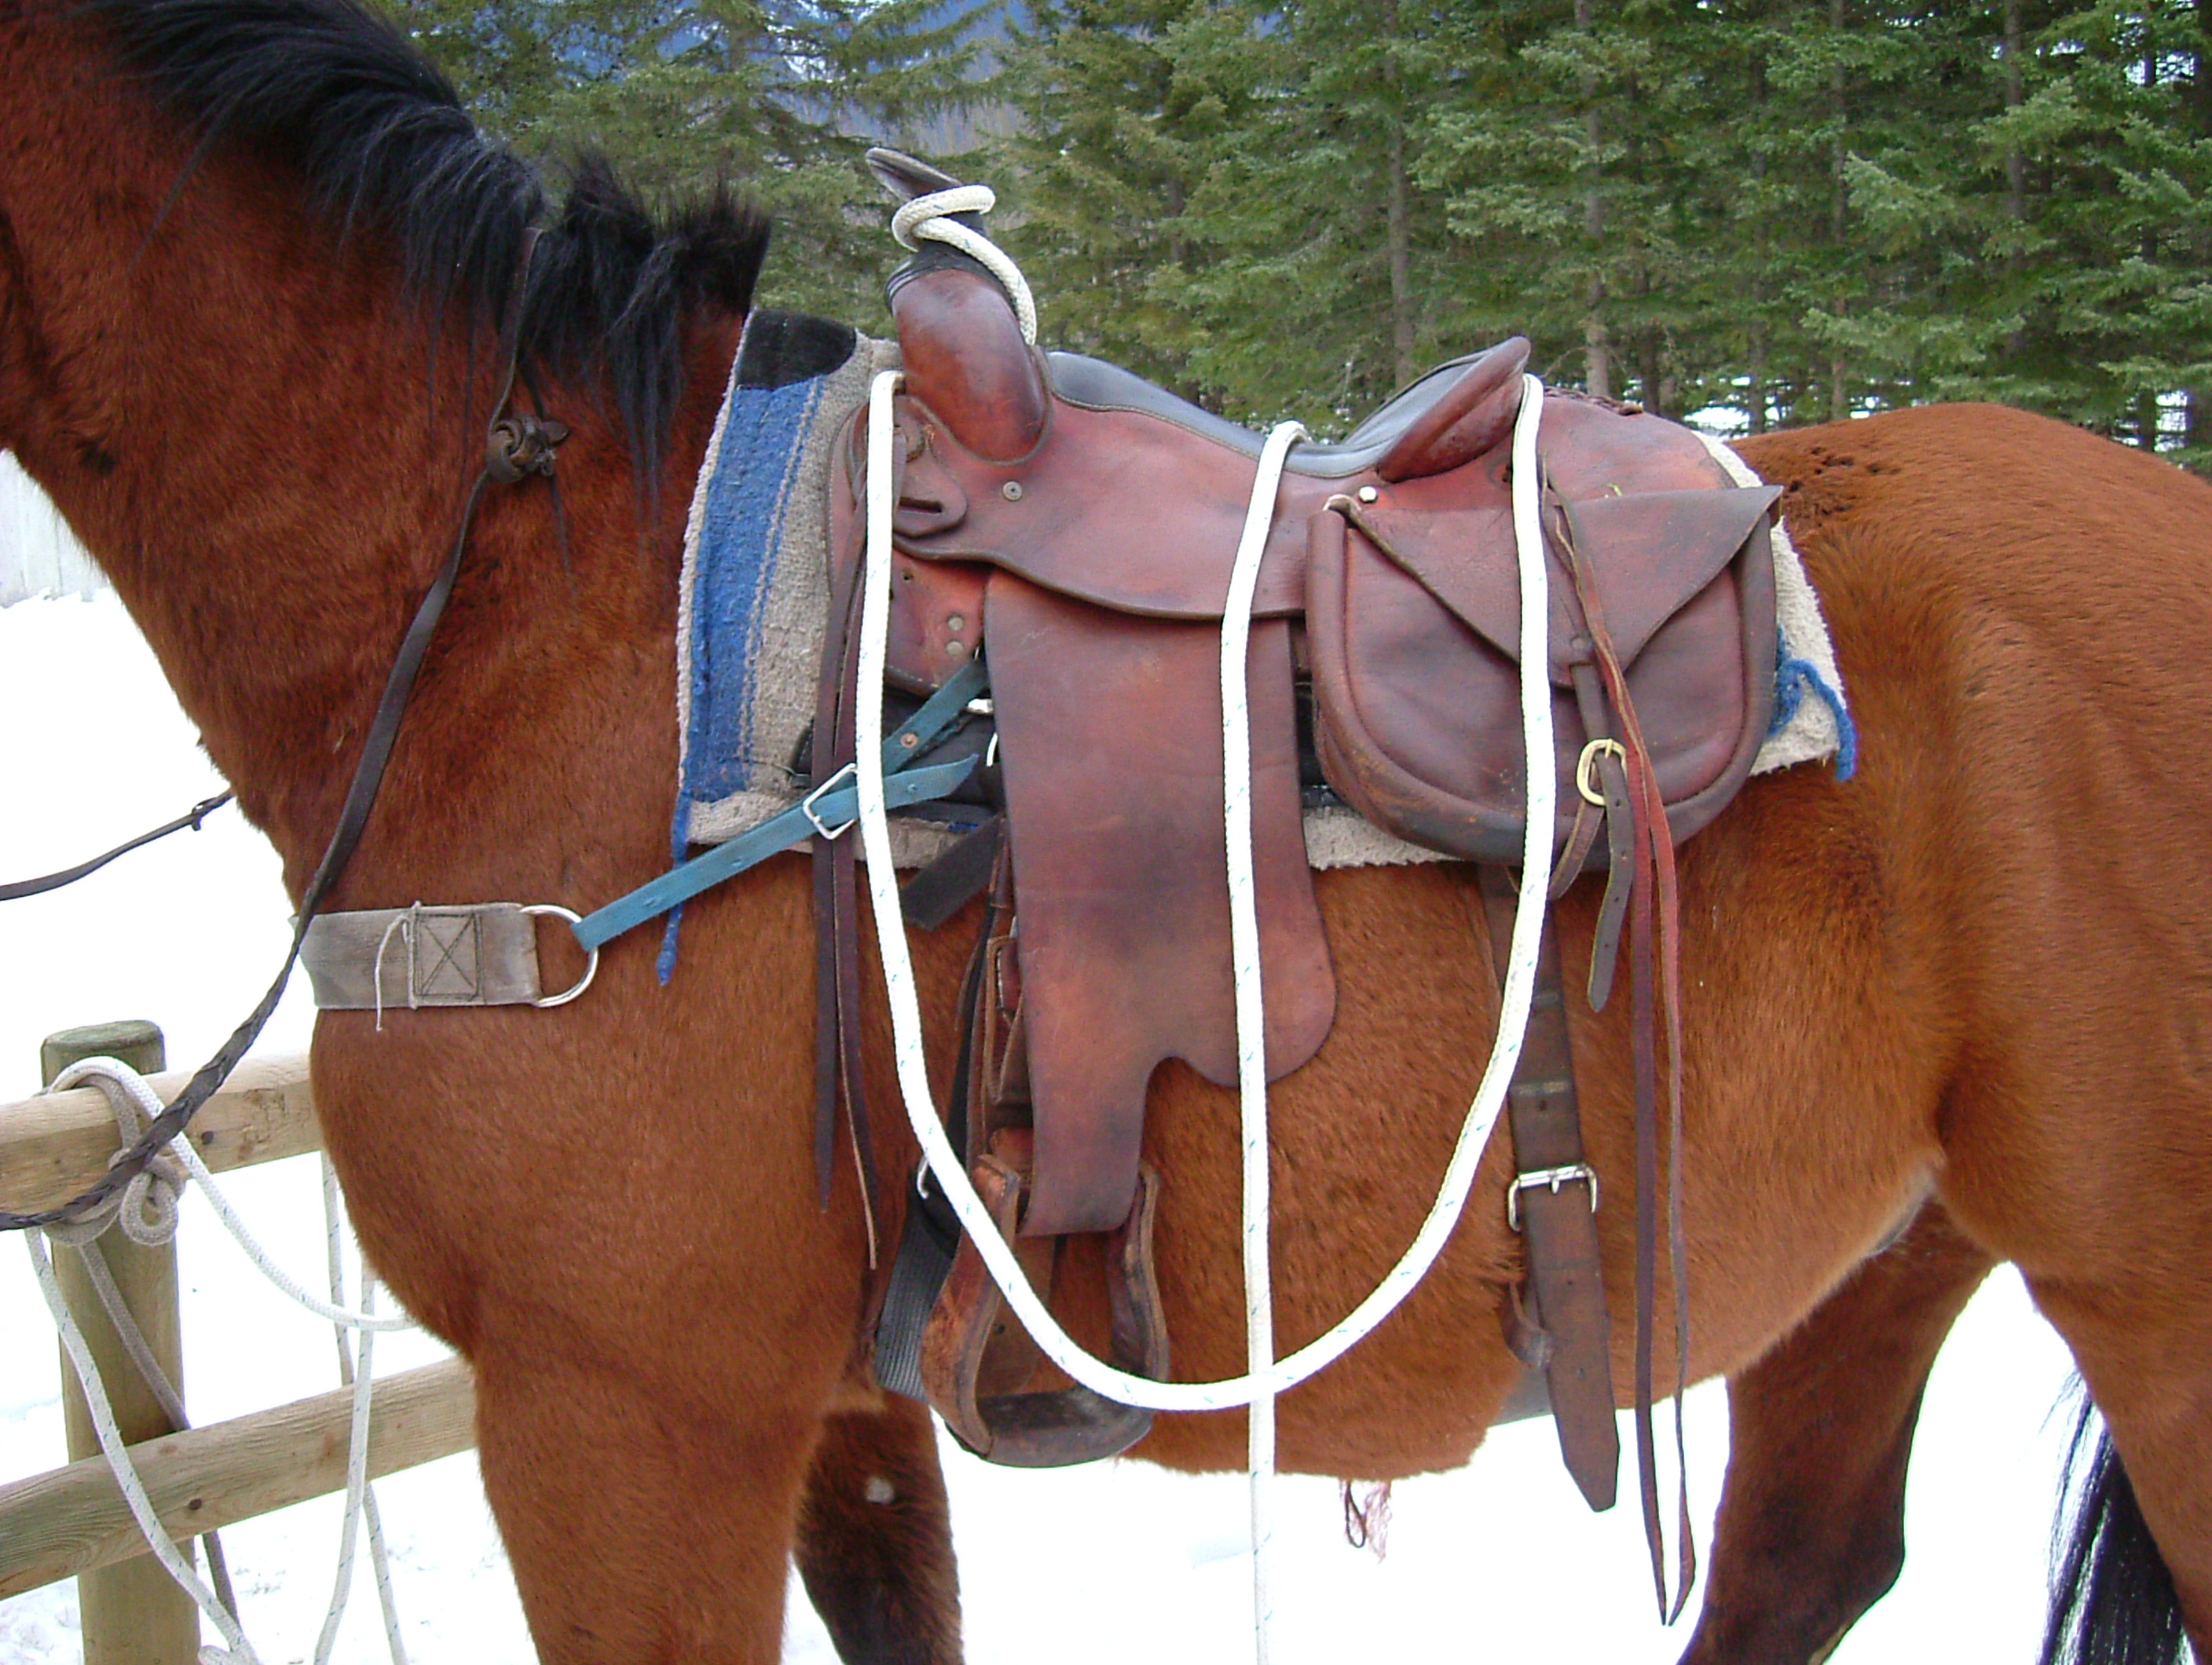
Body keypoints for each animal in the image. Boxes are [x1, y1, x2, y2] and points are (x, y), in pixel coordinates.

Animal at [3, 2, 2206, 1661]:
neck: (538, 629)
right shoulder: (833, 1408)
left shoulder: (619, 1413)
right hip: (1894, 1246)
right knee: (1802, 1562)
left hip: (2146, 1295)